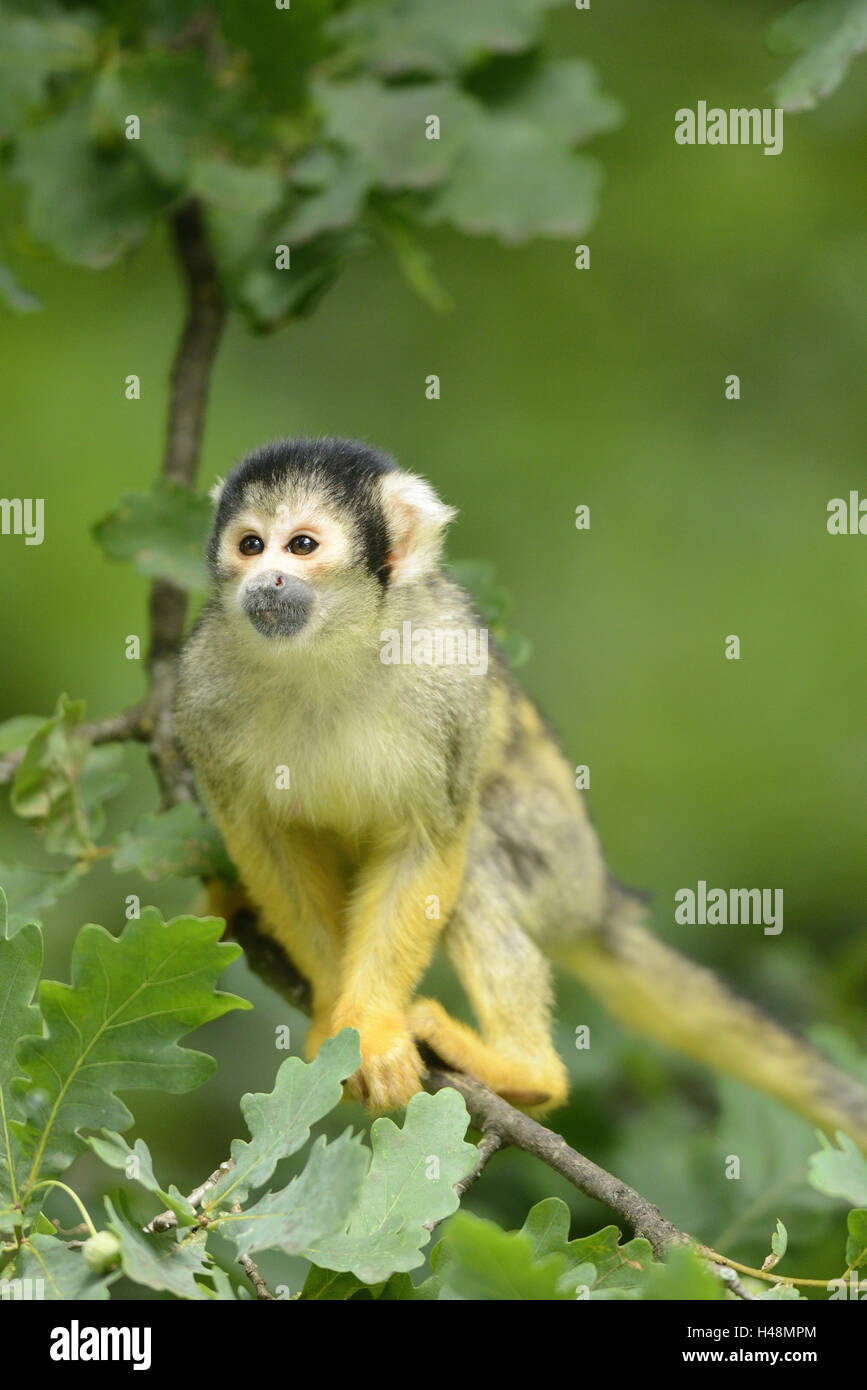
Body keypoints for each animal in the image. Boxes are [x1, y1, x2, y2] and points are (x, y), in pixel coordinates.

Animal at [176, 436, 867, 1148]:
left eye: (303, 546)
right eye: (251, 544)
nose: (266, 579)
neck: (326, 652)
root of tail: (600, 902)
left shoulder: (448, 674)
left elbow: (429, 843)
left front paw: (368, 1025)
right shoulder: (201, 686)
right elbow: (268, 845)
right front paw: (335, 1023)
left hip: (559, 861)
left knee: (479, 846)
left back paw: (526, 1072)